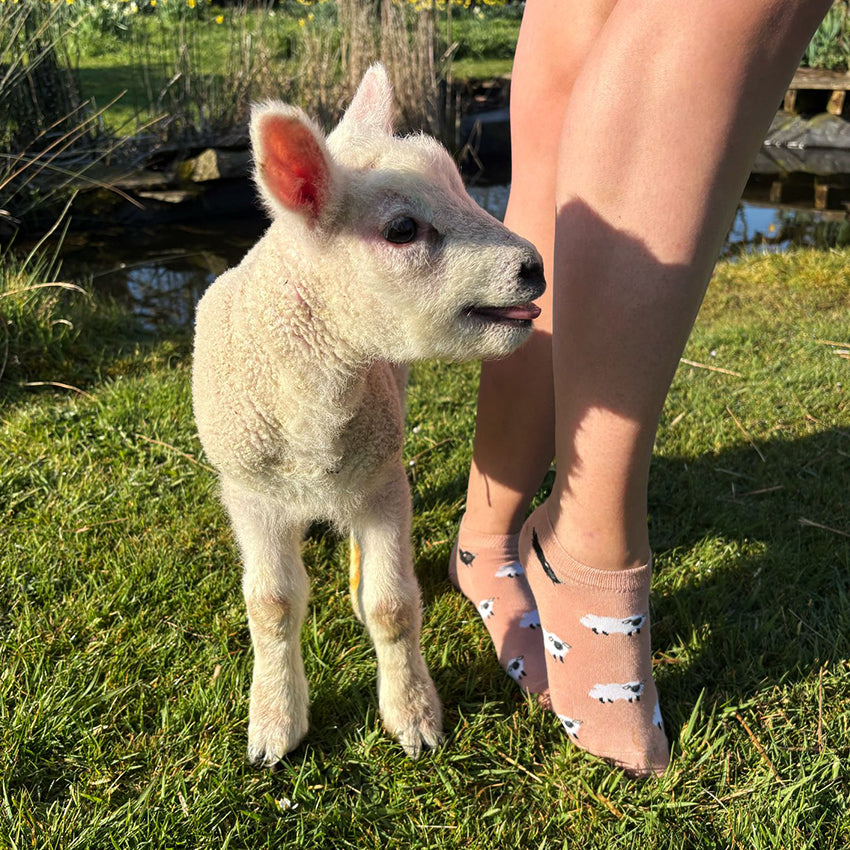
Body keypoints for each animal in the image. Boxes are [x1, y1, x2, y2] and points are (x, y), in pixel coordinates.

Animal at [191, 64, 545, 764]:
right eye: (402, 230)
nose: (535, 268)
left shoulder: (383, 482)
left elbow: (393, 607)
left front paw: (413, 715)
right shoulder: (250, 493)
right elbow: (270, 604)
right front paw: (274, 723)